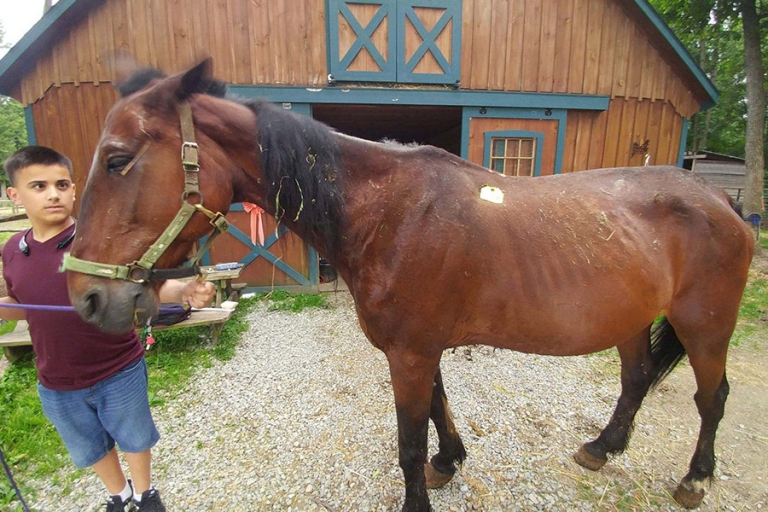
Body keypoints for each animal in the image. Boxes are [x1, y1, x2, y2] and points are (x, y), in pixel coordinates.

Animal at [65, 59, 754, 511]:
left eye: (118, 159)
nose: (87, 298)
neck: (390, 213)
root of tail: (721, 200)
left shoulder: (411, 352)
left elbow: (407, 442)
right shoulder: (421, 348)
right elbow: (439, 410)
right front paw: (450, 461)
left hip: (705, 325)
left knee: (713, 397)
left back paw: (695, 480)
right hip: (631, 318)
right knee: (635, 379)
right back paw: (602, 448)